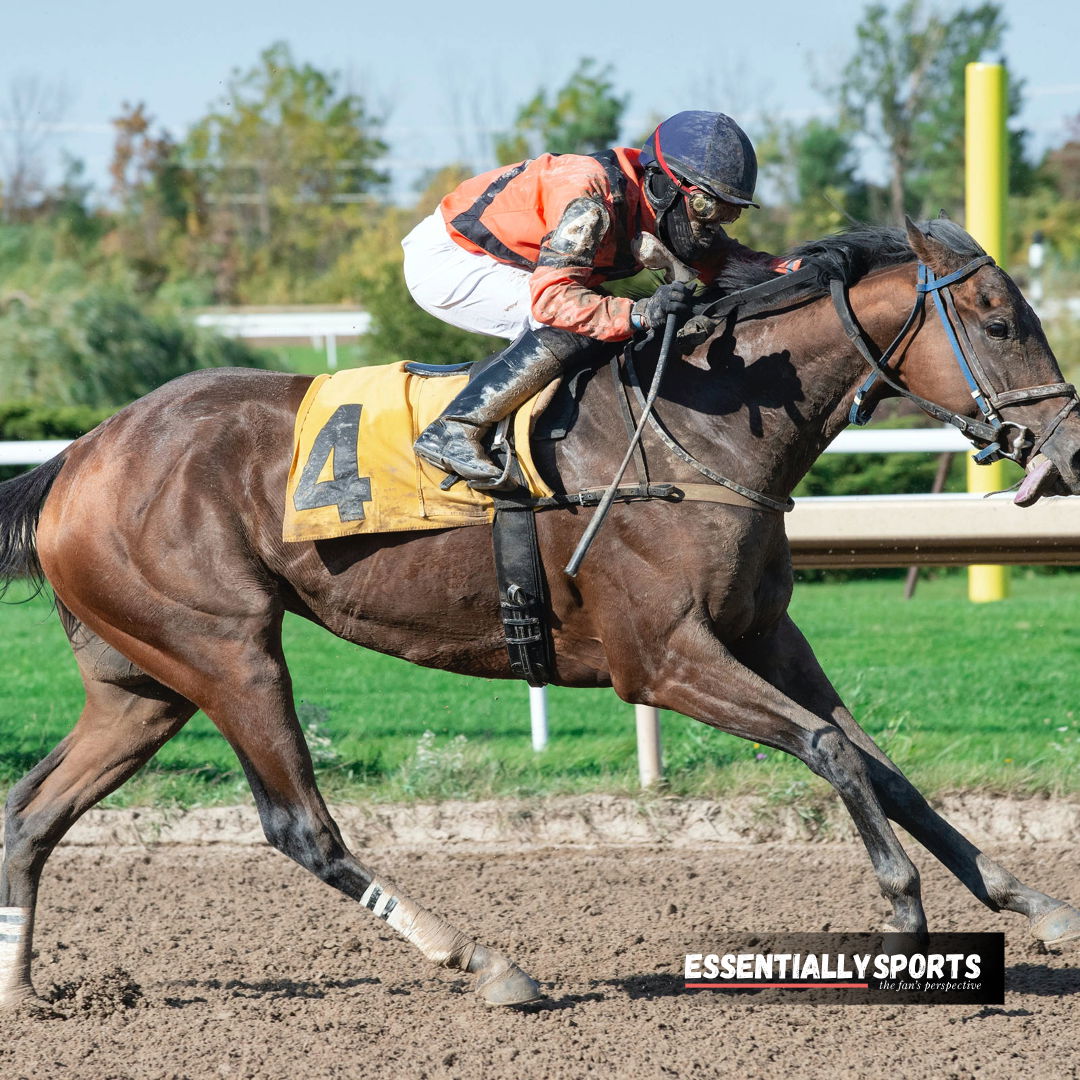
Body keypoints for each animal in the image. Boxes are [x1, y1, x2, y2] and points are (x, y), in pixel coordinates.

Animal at [2, 218, 1080, 1012]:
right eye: (998, 321)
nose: (1064, 449)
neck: (696, 431)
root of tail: (80, 454)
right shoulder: (662, 658)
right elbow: (831, 751)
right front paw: (901, 919)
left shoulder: (766, 634)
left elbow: (880, 763)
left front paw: (1028, 899)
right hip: (227, 651)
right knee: (300, 826)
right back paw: (487, 965)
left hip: (143, 683)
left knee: (32, 811)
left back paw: (22, 990)